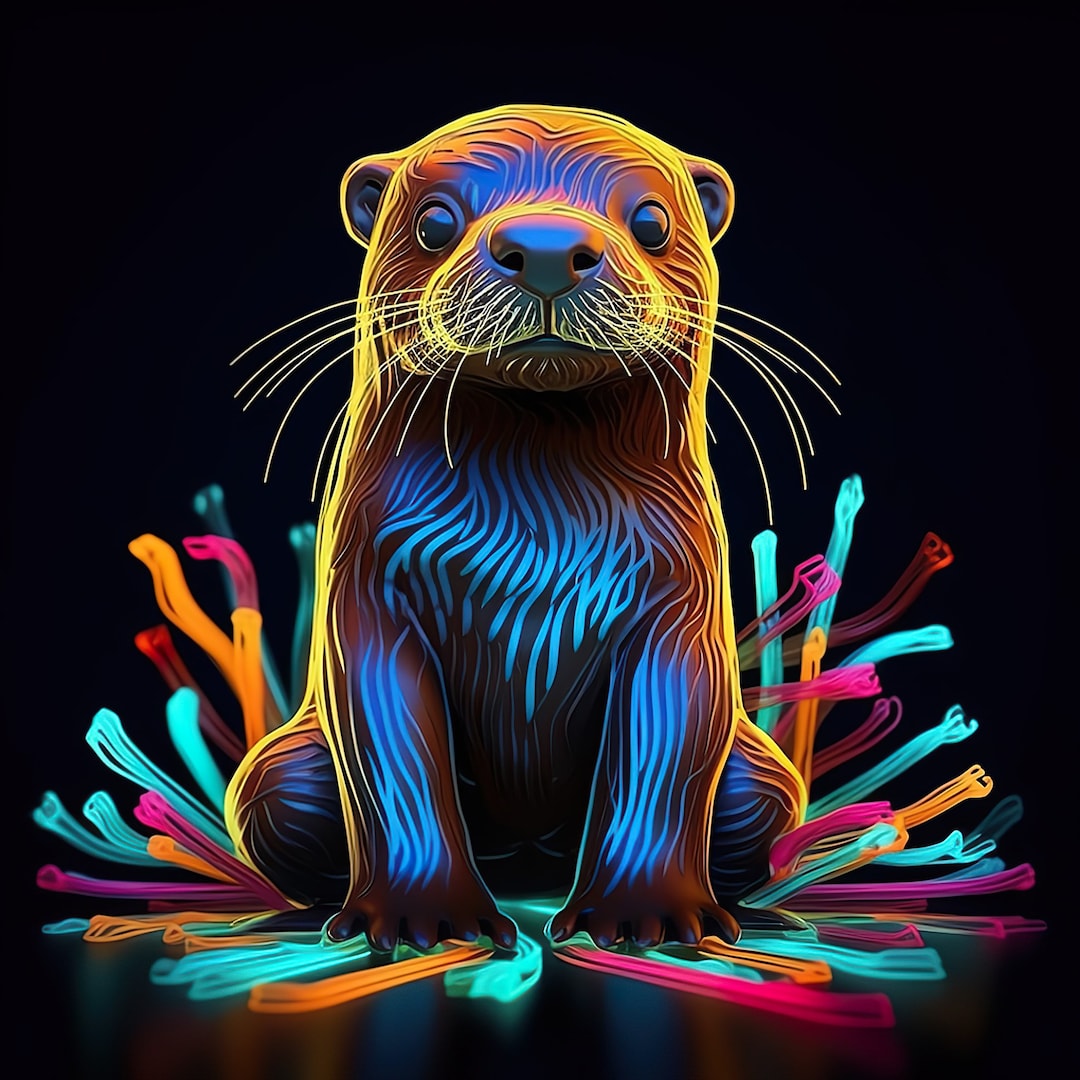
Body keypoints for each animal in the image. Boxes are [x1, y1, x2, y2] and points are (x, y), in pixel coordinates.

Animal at [225, 105, 807, 953]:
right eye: (435, 221)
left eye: (652, 221)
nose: (546, 246)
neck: (535, 533)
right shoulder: (367, 587)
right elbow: (393, 755)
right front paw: (422, 917)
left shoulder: (682, 598)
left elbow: (666, 749)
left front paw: (648, 915)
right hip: (281, 775)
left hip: (759, 781)